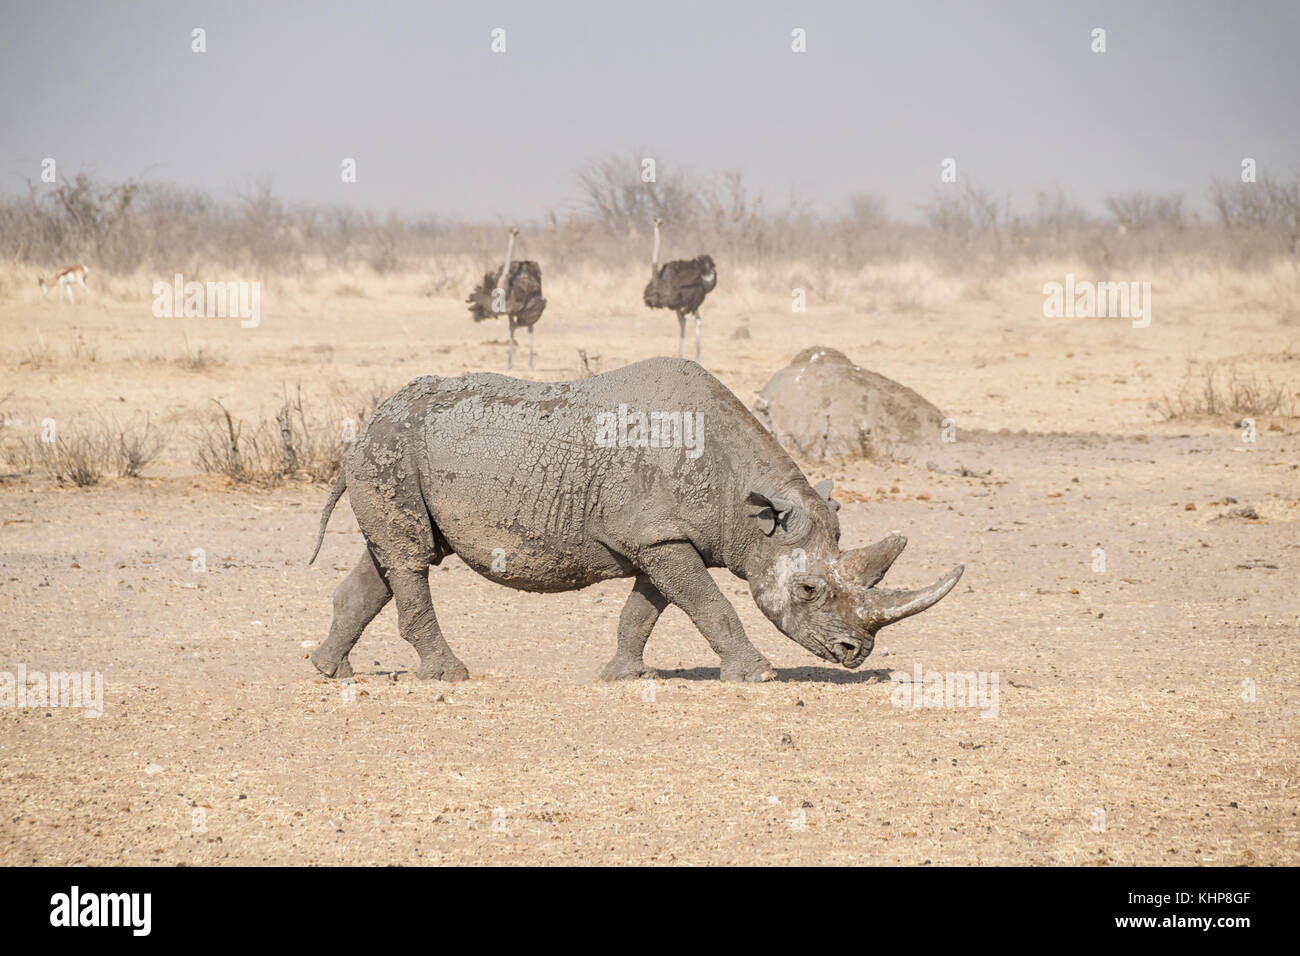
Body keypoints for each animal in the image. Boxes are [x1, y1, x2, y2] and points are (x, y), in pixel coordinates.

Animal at [308, 358, 962, 682]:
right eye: (806, 590)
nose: (856, 654)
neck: (747, 506)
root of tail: (369, 421)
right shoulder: (661, 535)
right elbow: (710, 605)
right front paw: (757, 677)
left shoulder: (657, 536)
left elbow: (646, 609)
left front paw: (623, 675)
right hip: (392, 449)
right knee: (410, 558)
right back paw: (449, 676)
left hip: (397, 454)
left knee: (393, 559)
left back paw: (331, 670)